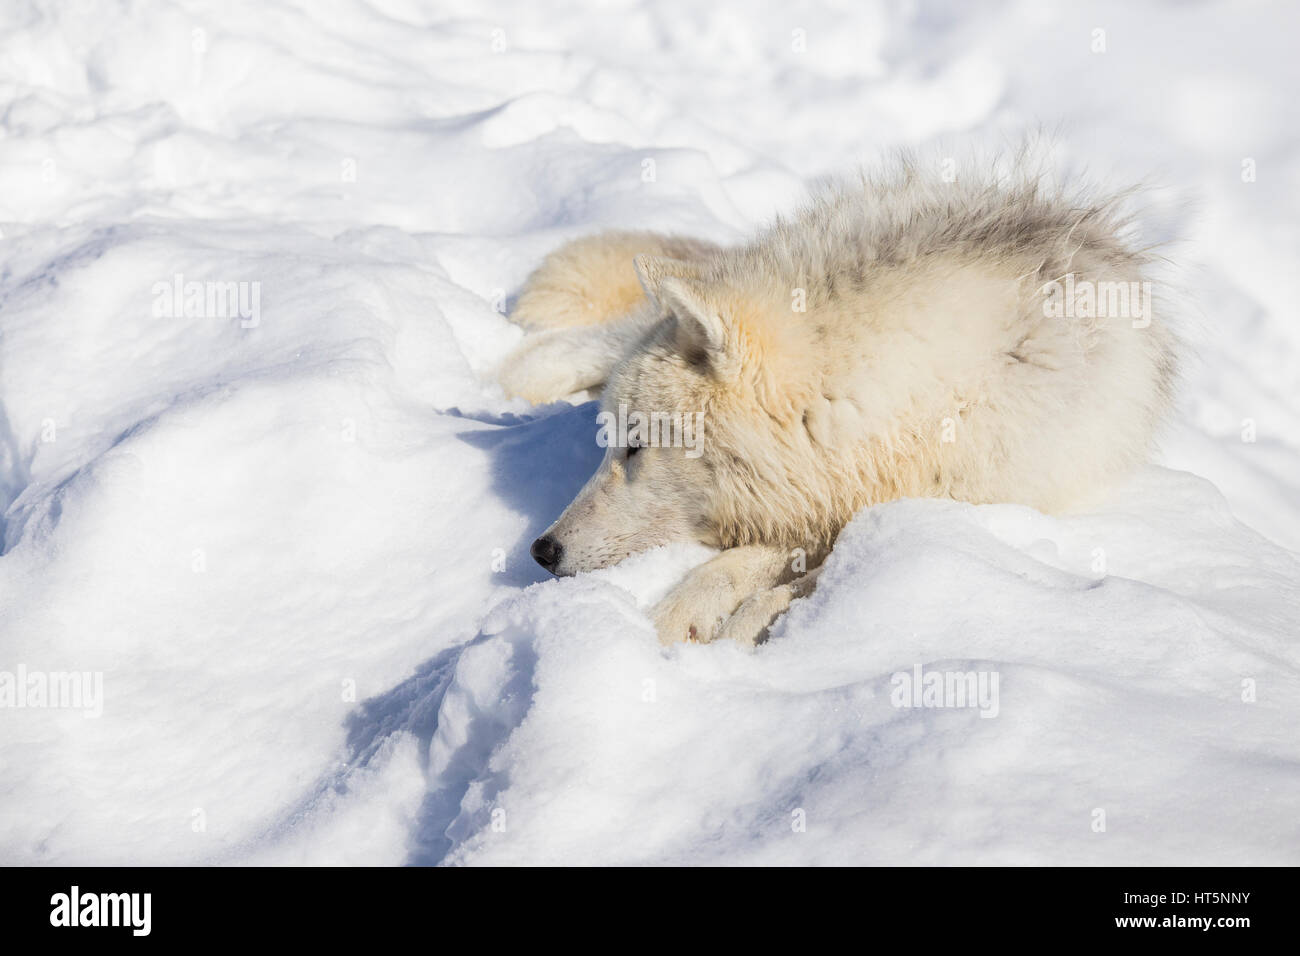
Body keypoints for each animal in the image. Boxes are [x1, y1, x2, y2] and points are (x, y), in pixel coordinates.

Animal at [499, 159, 1178, 647]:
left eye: (637, 446)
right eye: (611, 442)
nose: (541, 551)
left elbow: (780, 577)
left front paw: (730, 631)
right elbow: (741, 564)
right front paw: (682, 623)